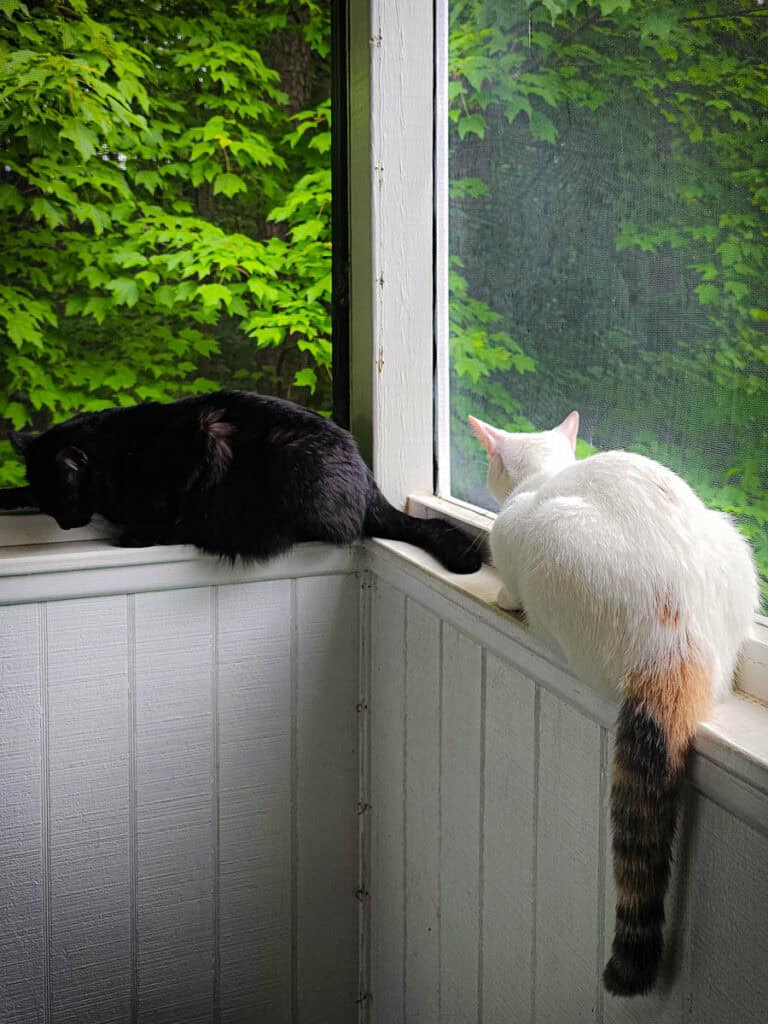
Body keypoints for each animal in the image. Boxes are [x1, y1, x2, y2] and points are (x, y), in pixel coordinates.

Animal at [0, 387, 483, 573]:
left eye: (63, 495)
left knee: (328, 531)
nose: (65, 525)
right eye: (47, 503)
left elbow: (166, 512)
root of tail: (370, 483)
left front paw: (139, 534)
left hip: (290, 456)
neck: (116, 458)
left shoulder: (201, 448)